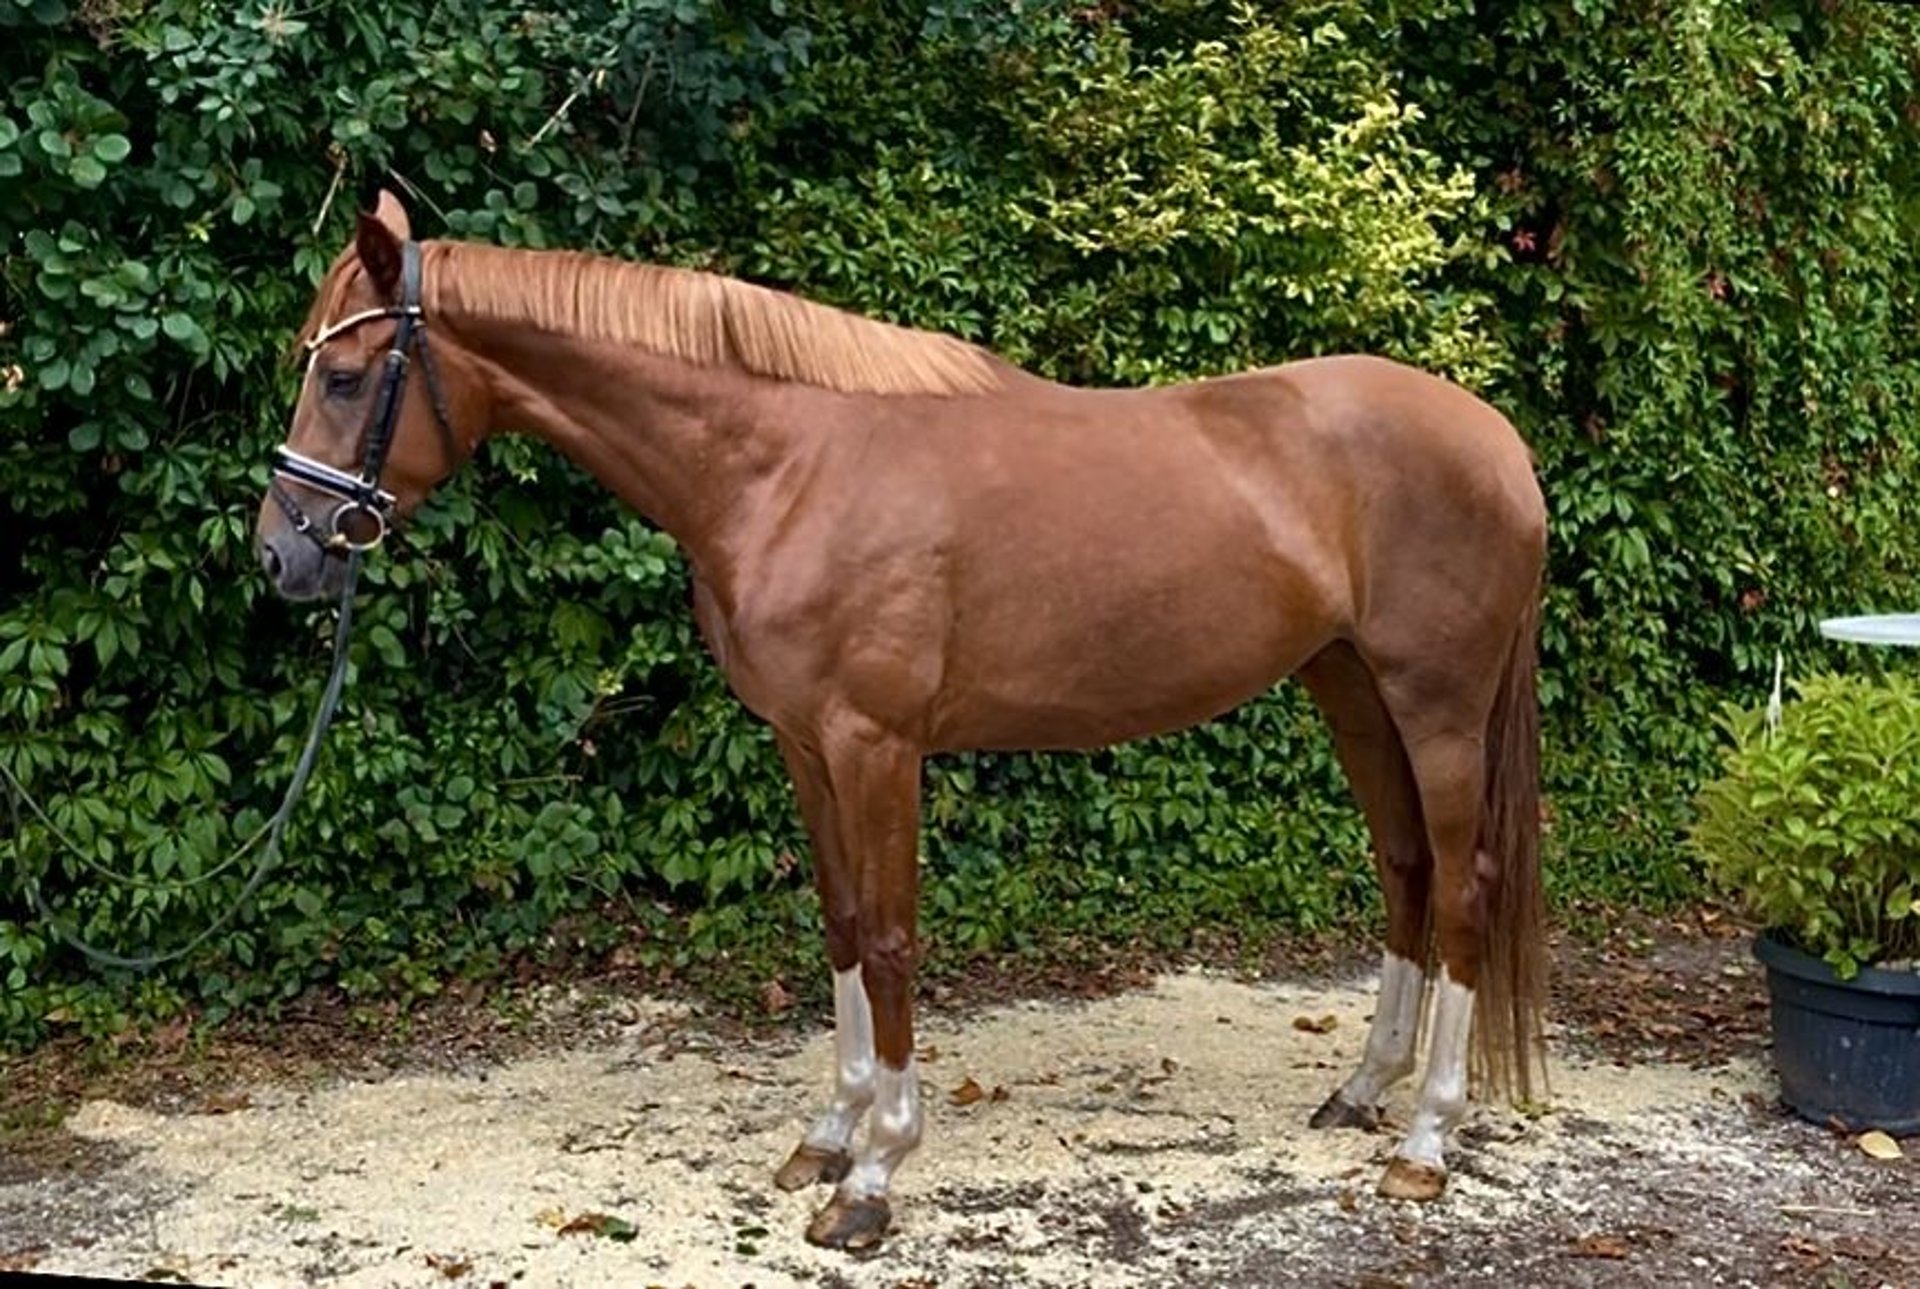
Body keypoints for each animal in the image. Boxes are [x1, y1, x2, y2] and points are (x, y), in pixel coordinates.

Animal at [257, 191, 1548, 1251]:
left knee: (1464, 883)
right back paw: (1363, 1089)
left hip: (1434, 705)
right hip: (1351, 685)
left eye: (343, 377)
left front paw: (876, 1172)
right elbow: (837, 922)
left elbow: (887, 937)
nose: (281, 556)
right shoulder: (803, 742)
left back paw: (1425, 1140)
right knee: (1406, 868)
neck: (787, 466)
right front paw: (828, 1133)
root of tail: (1500, 443)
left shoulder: (875, 744)